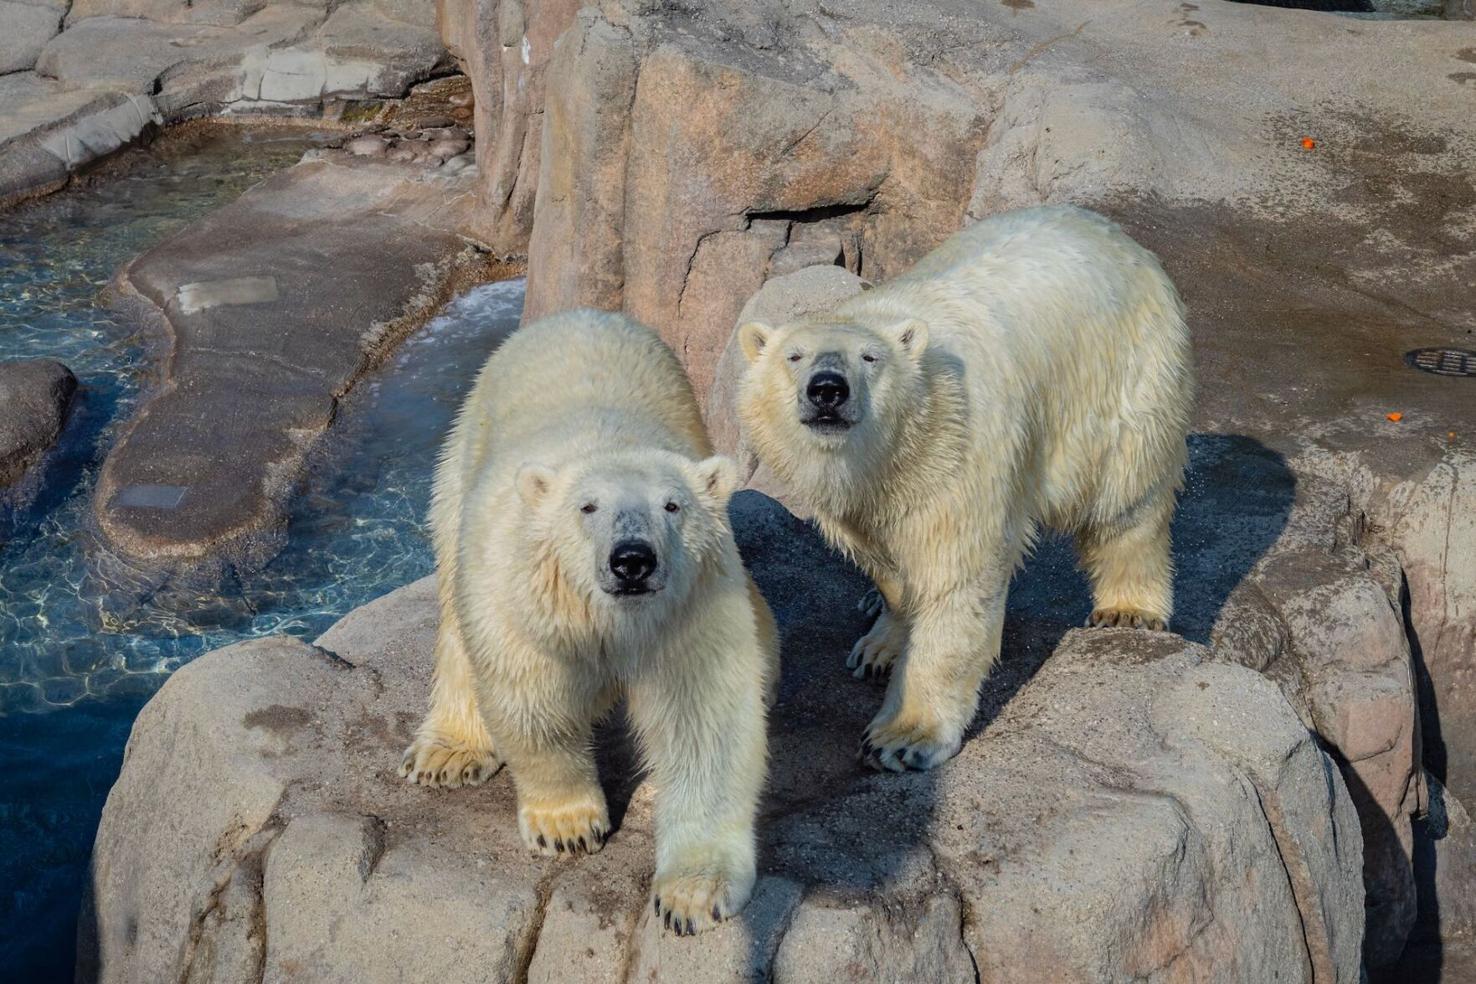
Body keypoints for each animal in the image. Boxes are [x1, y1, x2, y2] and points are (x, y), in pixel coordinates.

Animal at [400, 309, 778, 934]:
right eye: (588, 507)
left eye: (672, 505)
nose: (632, 560)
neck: (615, 618)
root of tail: (580, 313)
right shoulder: (530, 599)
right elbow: (535, 699)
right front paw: (569, 827)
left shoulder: (693, 608)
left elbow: (705, 721)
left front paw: (692, 895)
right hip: (463, 453)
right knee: (455, 606)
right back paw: (450, 753)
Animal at [736, 205, 1193, 773]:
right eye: (794, 356)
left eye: (869, 359)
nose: (827, 390)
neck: (887, 454)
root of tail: (1112, 232)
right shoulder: (867, 498)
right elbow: (889, 565)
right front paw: (880, 646)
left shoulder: (958, 454)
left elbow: (954, 581)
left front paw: (903, 737)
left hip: (1124, 376)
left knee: (1126, 497)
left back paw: (1129, 607)